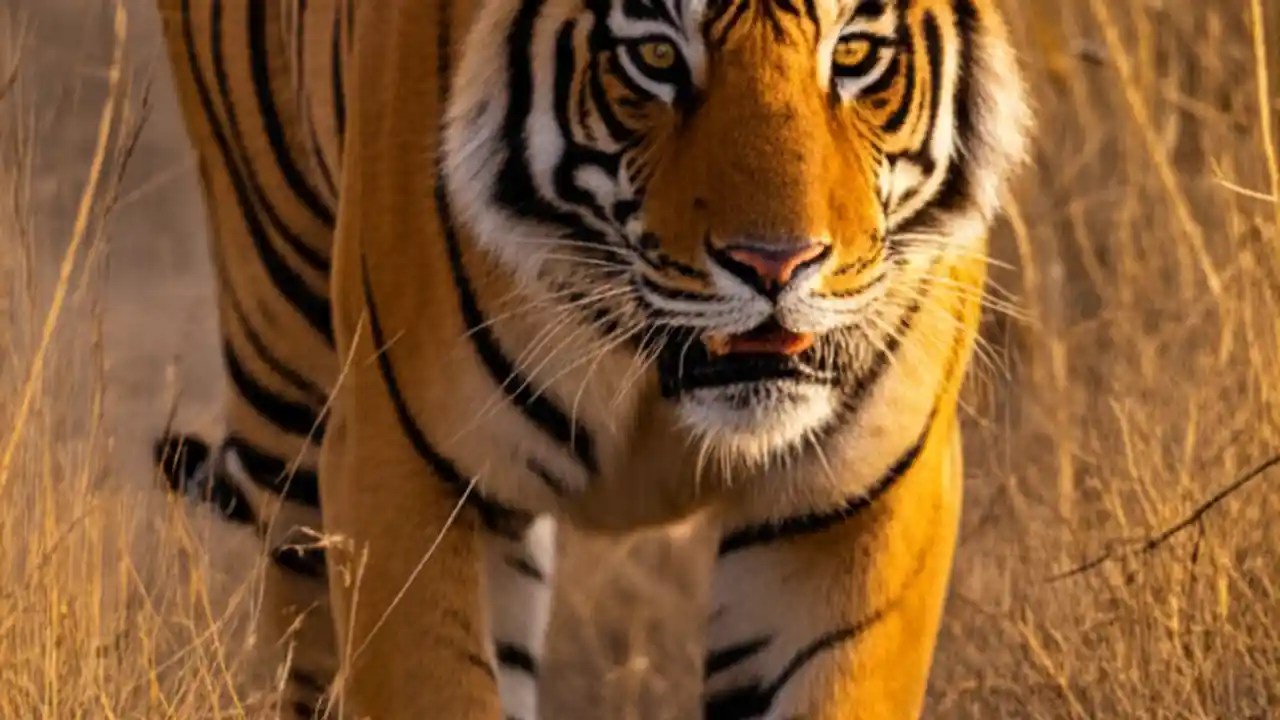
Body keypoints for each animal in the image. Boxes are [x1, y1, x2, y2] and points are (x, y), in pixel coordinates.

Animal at [151, 0, 1030, 718]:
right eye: (657, 56)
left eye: (853, 54)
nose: (776, 265)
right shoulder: (404, 471)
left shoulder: (856, 499)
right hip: (281, 375)